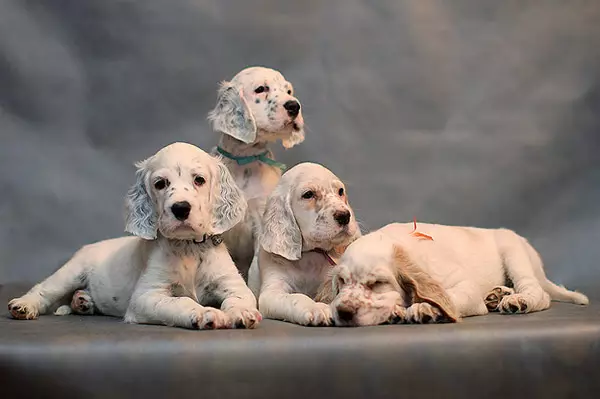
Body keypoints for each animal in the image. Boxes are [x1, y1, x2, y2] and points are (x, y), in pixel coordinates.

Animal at [7, 144, 260, 332]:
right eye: (160, 184)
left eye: (199, 180)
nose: (180, 208)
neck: (189, 248)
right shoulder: (146, 296)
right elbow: (181, 301)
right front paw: (204, 312)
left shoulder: (233, 284)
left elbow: (240, 298)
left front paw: (242, 312)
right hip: (70, 272)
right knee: (43, 289)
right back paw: (24, 306)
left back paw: (83, 301)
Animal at [316, 222, 588, 328]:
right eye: (341, 282)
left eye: (378, 283)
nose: (343, 312)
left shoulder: (465, 288)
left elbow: (450, 297)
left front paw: (425, 308)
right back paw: (496, 295)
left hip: (513, 251)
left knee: (539, 293)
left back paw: (518, 300)